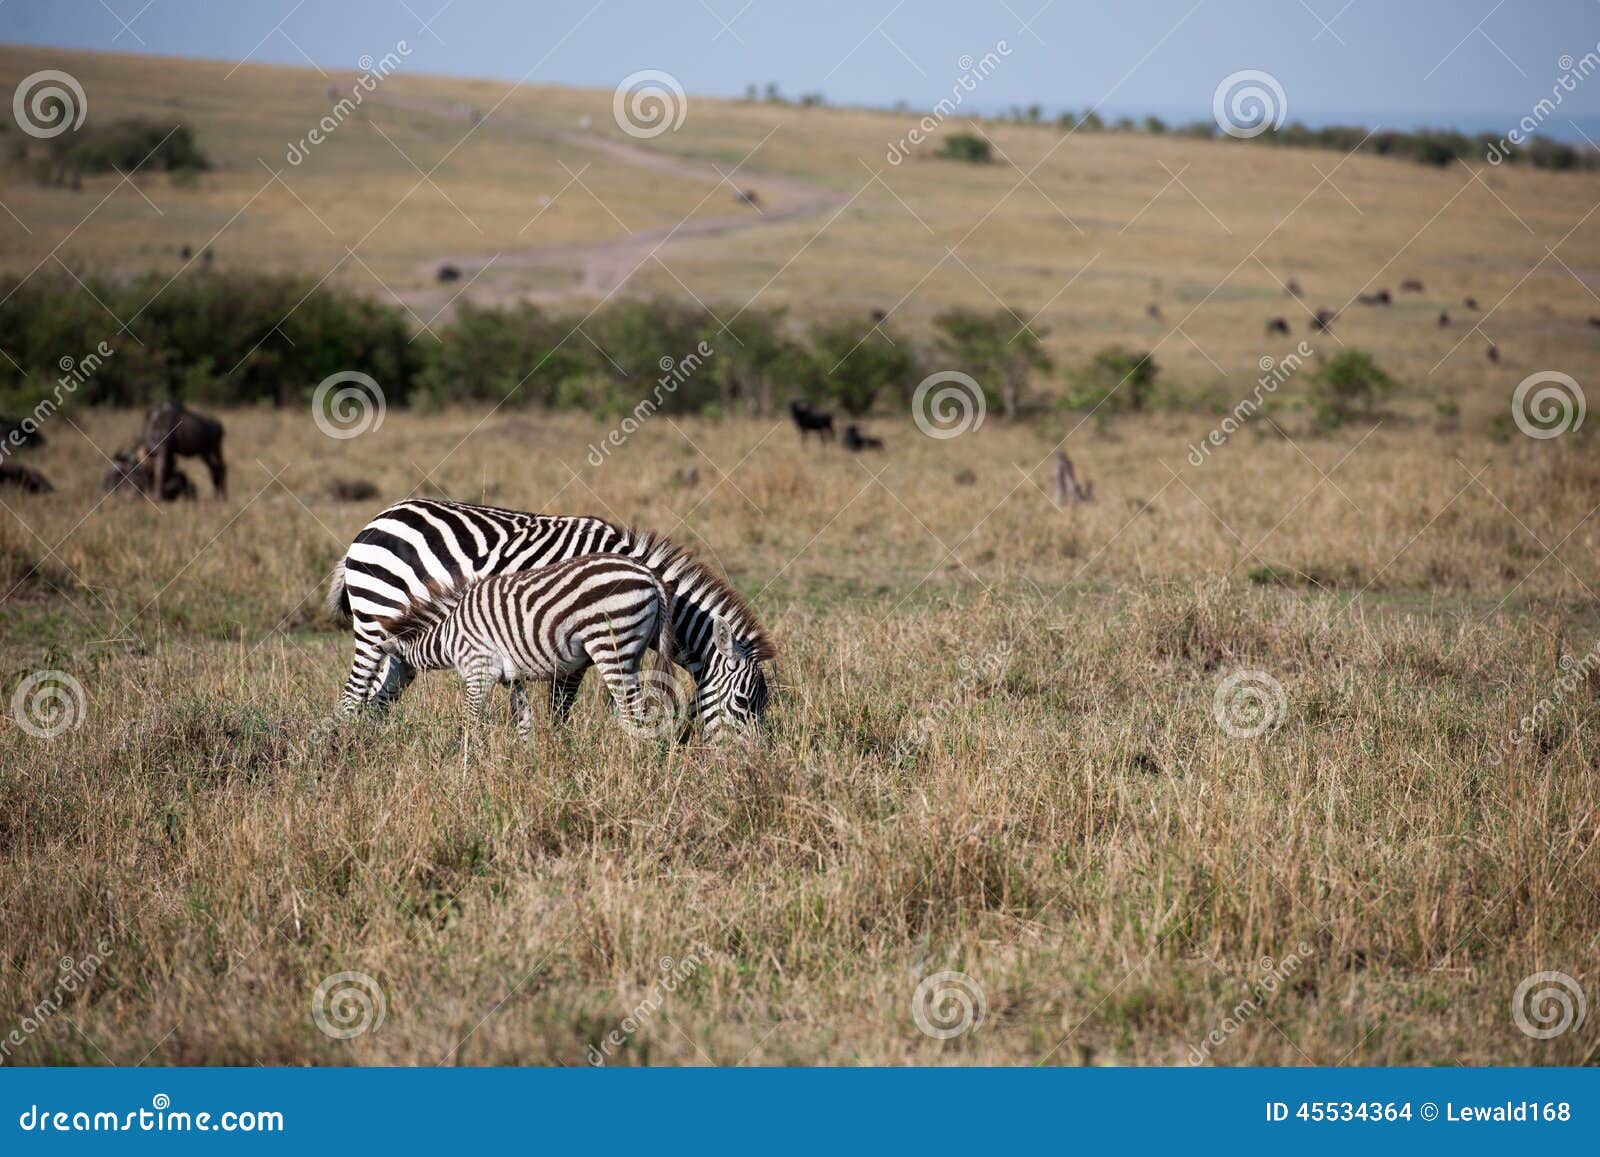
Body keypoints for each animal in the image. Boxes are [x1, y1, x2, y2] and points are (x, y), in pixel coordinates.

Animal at [377, 551, 678, 742]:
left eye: (384, 671)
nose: (371, 714)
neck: (449, 635)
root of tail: (649, 575)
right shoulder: (514, 678)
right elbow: (524, 723)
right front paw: (528, 763)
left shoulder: (479, 670)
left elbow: (470, 721)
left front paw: (463, 767)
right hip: (632, 652)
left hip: (610, 644)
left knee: (633, 713)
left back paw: (631, 760)